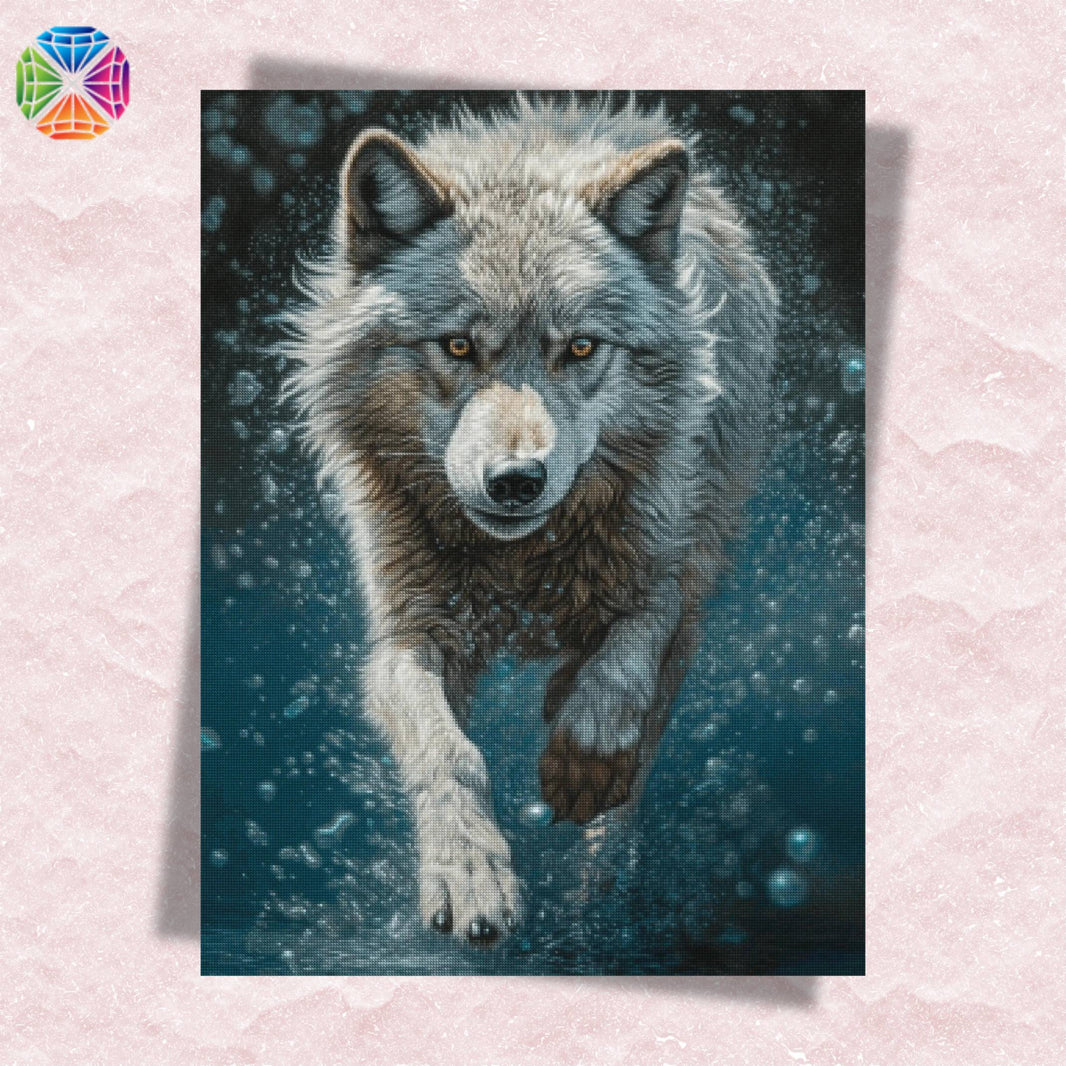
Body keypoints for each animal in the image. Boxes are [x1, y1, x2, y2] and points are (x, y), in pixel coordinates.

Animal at [288, 95, 777, 945]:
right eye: (457, 346)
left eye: (580, 348)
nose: (516, 482)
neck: (517, 567)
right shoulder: (406, 636)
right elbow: (448, 753)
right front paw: (471, 876)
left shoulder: (663, 571)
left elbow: (628, 659)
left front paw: (580, 761)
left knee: (642, 751)